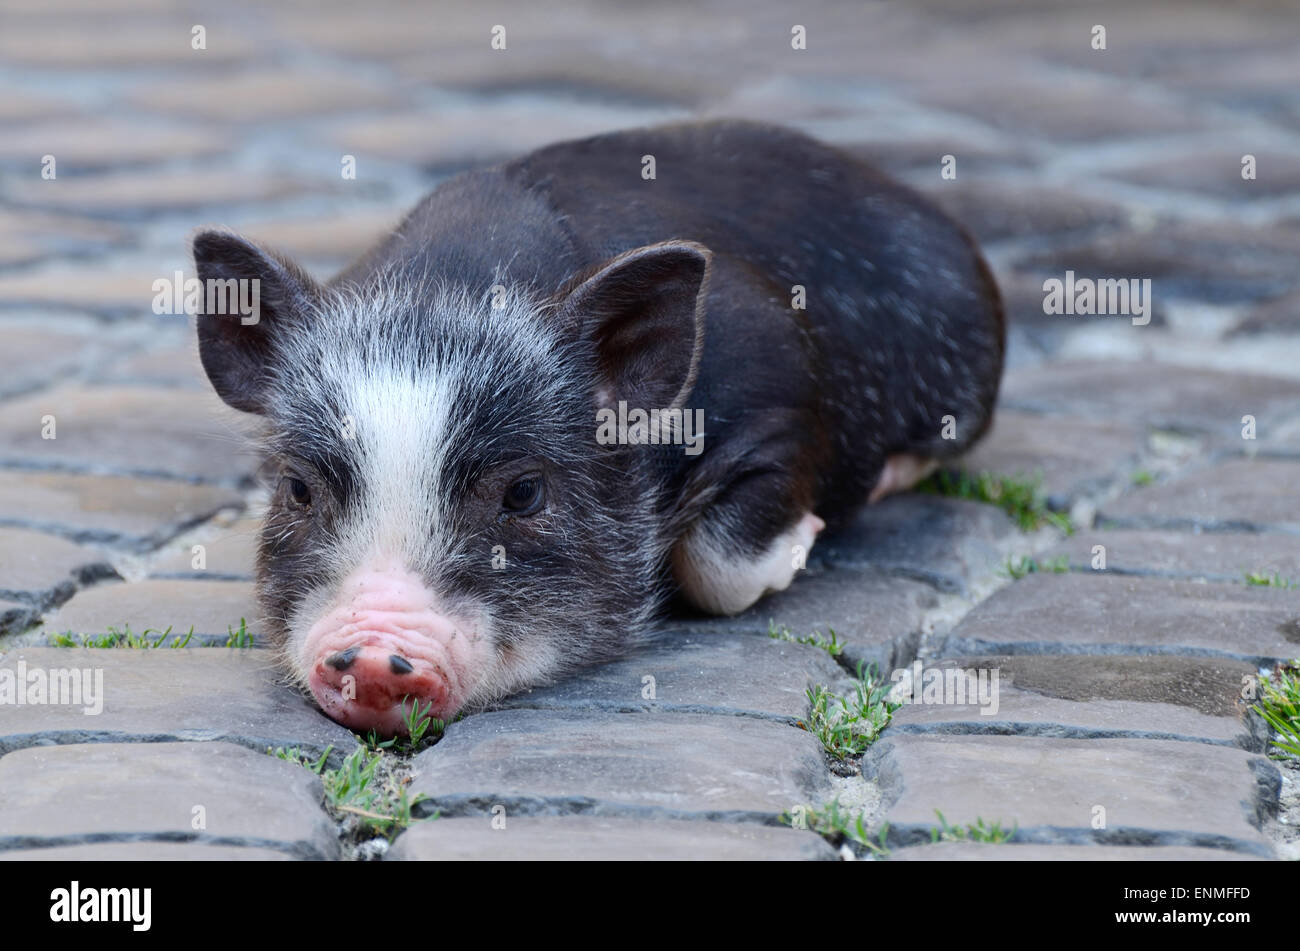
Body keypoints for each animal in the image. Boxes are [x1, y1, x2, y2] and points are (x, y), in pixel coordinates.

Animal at [192, 120, 1004, 736]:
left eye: (524, 492)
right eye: (297, 488)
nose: (369, 655)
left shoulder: (784, 402)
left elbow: (719, 566)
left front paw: (807, 535)